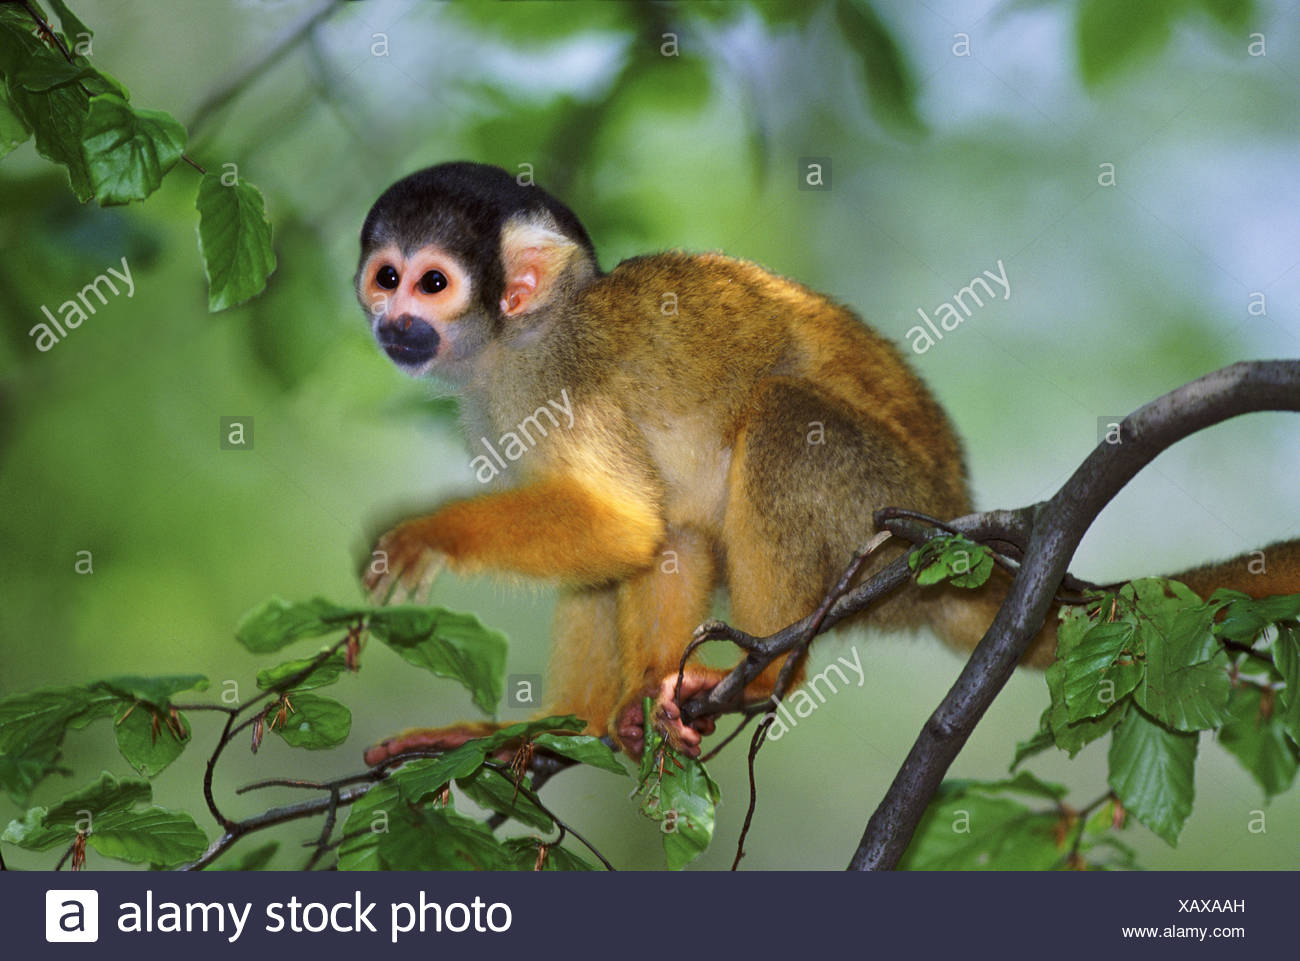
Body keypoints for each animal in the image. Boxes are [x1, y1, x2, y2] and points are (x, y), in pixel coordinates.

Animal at [354, 161, 1300, 763]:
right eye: (385, 277)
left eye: (432, 283)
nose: (392, 323)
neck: (508, 342)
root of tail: (950, 550)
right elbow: (650, 537)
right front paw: (608, 711)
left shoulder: (558, 379)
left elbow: (621, 521)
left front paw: (420, 538)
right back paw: (573, 724)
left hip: (884, 517)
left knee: (782, 417)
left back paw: (771, 668)